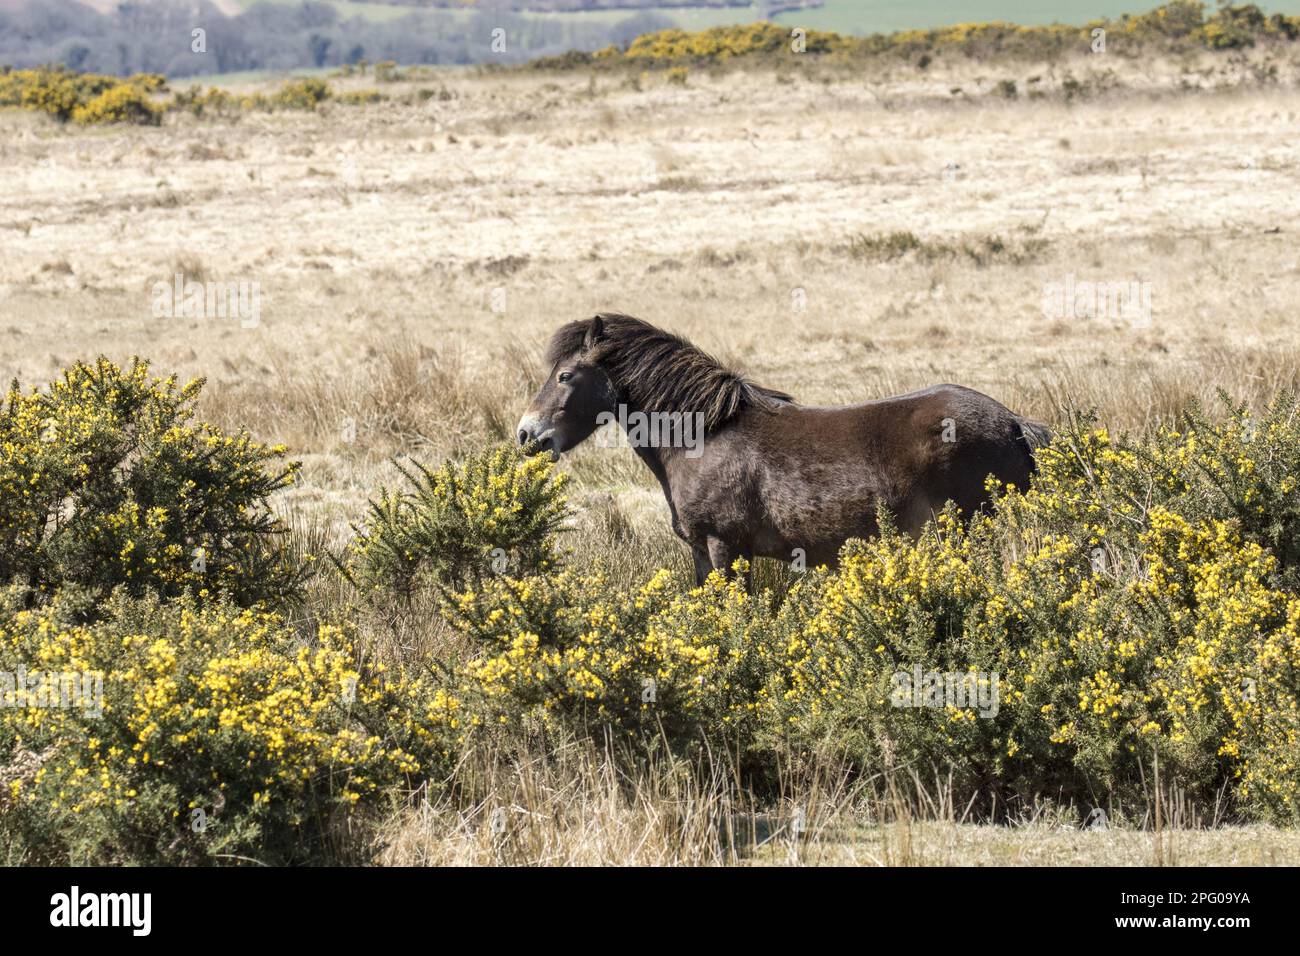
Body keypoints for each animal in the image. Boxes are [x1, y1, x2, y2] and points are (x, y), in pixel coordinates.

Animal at [517, 313, 1050, 585]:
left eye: (565, 376)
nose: (526, 434)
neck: (701, 437)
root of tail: (1014, 423)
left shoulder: (724, 548)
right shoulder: (700, 553)